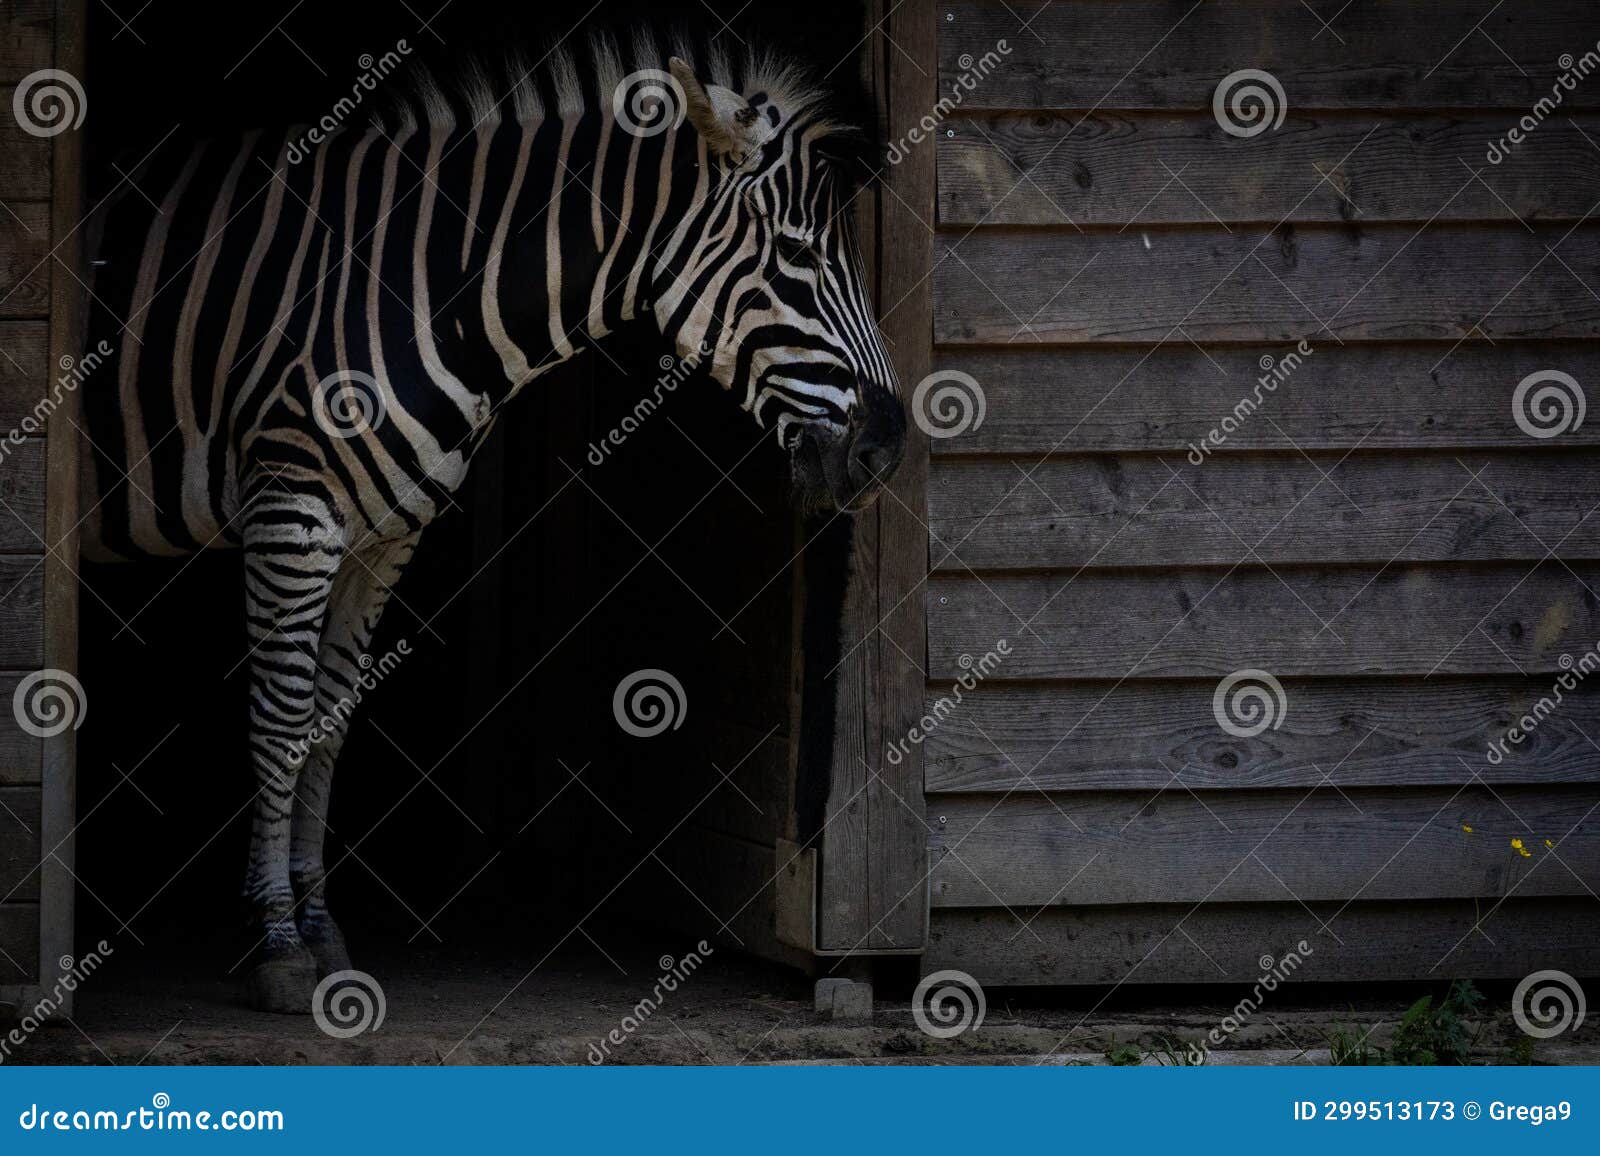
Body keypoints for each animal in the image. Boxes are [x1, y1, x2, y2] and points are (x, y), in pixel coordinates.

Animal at [79, 34, 906, 1012]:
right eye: (794, 255)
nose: (887, 446)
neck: (420, 292)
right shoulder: (293, 503)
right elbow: (281, 721)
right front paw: (277, 944)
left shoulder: (382, 536)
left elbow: (328, 722)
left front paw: (320, 932)